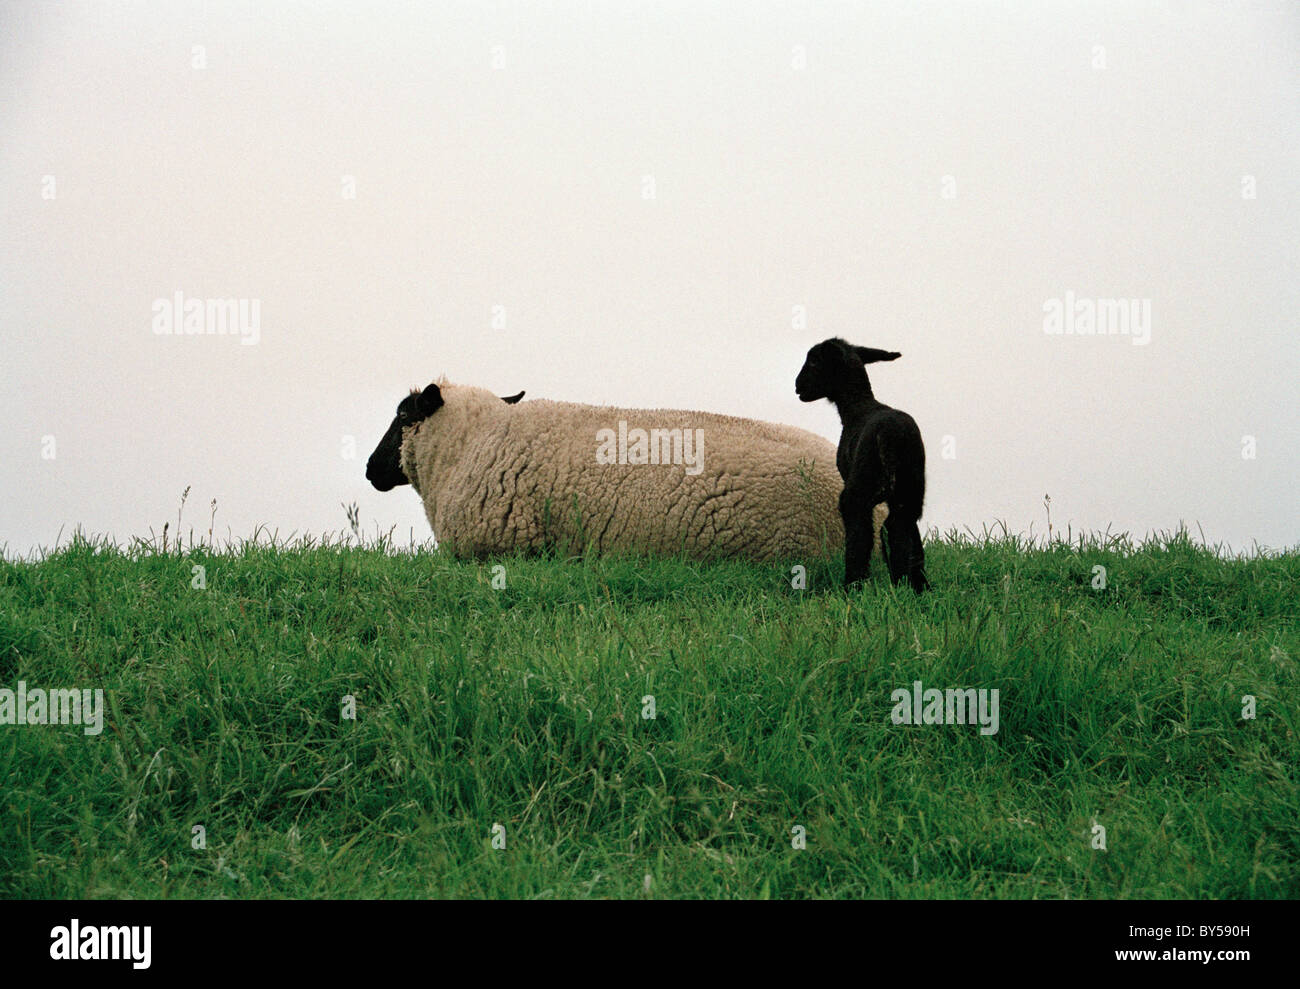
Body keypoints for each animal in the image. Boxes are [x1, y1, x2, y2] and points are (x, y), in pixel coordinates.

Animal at [785, 335, 930, 590]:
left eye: (814, 361)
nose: (797, 386)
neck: (856, 406)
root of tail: (893, 436)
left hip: (861, 487)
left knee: (865, 531)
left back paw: (855, 584)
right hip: (910, 488)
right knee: (901, 527)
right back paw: (913, 585)